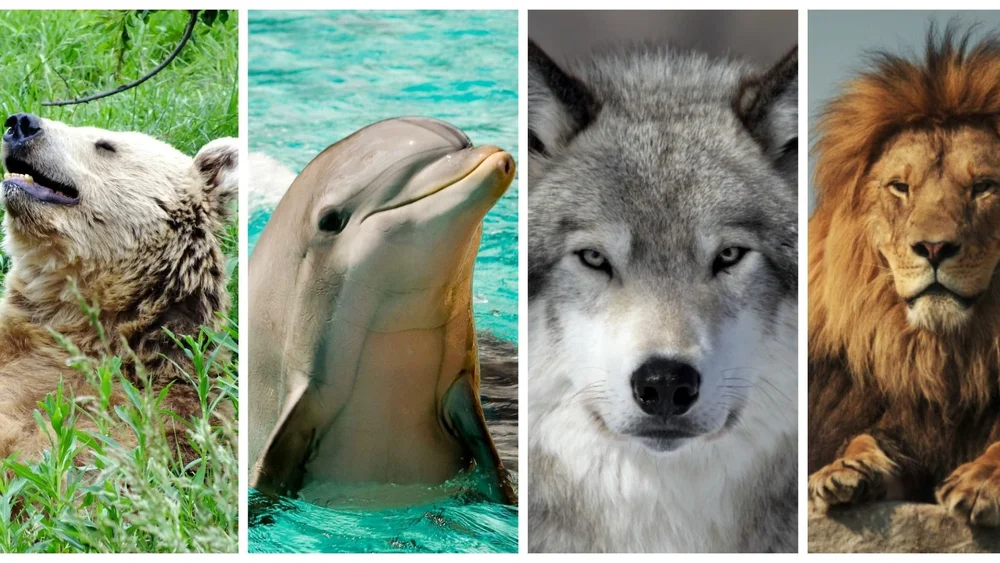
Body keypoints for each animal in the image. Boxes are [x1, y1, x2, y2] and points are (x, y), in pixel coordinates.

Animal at [808, 26, 1000, 529]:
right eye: (900, 187)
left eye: (984, 187)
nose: (933, 249)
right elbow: (868, 438)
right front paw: (844, 469)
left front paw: (979, 482)